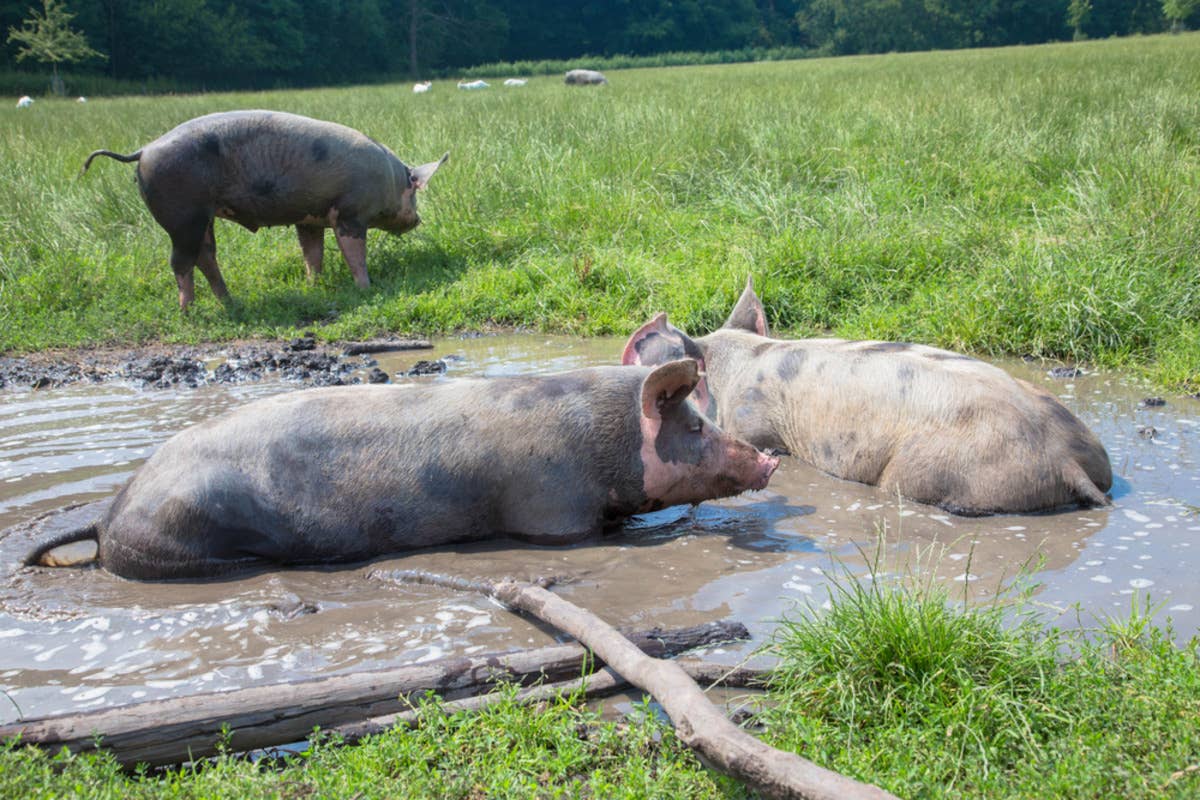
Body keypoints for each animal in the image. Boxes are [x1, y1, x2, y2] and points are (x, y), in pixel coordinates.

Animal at [25, 360, 778, 580]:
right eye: (694, 427)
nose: (770, 457)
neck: (604, 439)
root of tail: (108, 516)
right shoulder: (553, 512)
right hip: (183, 539)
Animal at [80, 110, 448, 310]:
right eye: (415, 194)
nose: (418, 219)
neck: (388, 180)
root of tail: (143, 151)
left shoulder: (309, 218)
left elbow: (312, 254)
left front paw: (313, 286)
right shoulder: (350, 214)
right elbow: (353, 254)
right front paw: (365, 288)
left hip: (203, 216)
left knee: (206, 256)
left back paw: (230, 303)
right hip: (183, 215)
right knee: (181, 262)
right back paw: (188, 312)